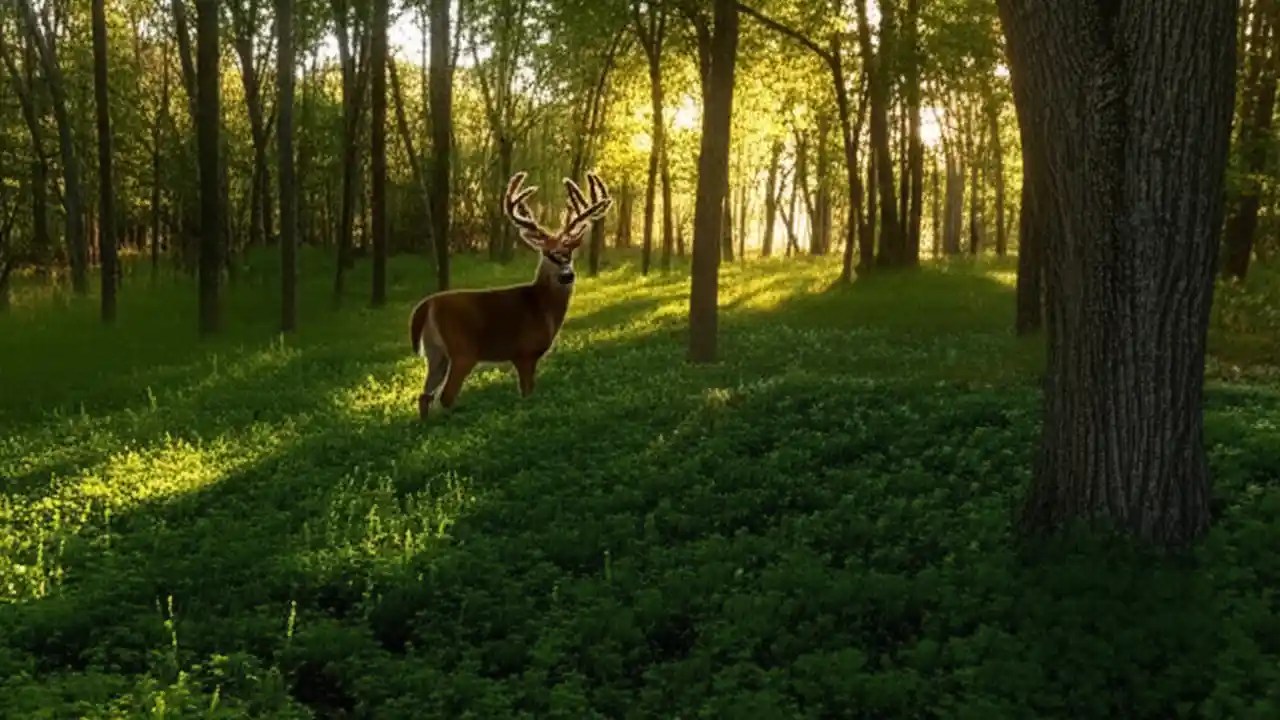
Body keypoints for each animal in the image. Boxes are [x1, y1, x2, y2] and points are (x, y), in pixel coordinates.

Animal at [408, 170, 613, 419]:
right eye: (548, 253)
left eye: (569, 254)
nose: (567, 275)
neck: (541, 306)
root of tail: (427, 305)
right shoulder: (525, 353)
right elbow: (527, 393)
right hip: (462, 351)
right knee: (445, 397)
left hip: (435, 352)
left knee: (424, 396)